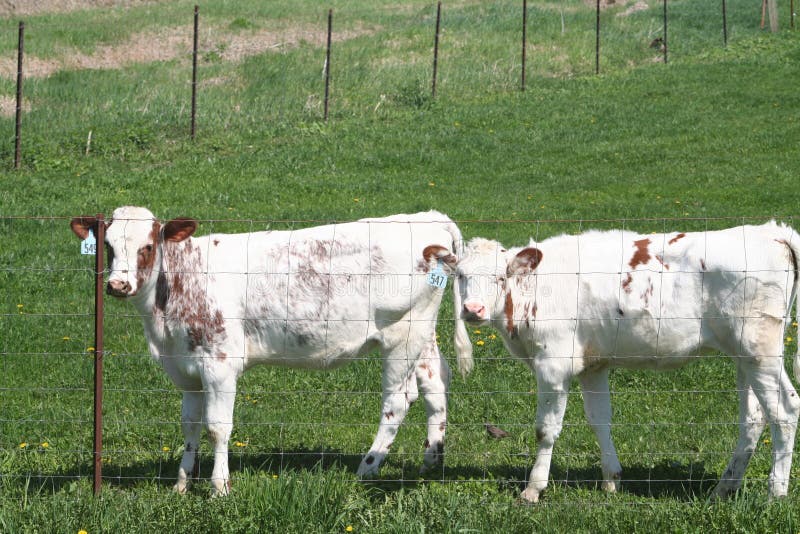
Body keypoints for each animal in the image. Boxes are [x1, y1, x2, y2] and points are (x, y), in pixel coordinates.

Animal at [70, 206, 472, 496]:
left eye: (147, 247)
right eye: (108, 246)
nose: (117, 285)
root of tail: (428, 217)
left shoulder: (220, 364)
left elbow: (217, 428)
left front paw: (219, 487)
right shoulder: (184, 369)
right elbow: (190, 425)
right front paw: (182, 484)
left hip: (402, 337)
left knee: (398, 401)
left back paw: (367, 468)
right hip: (423, 335)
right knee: (436, 383)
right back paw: (430, 460)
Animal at [455, 222, 800, 503]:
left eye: (500, 277)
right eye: (460, 275)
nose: (473, 309)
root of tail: (772, 231)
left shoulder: (552, 365)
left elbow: (545, 430)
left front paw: (533, 489)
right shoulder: (592, 366)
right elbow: (599, 420)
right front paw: (612, 479)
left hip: (758, 351)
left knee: (784, 411)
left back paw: (775, 494)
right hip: (745, 356)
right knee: (754, 418)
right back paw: (724, 489)